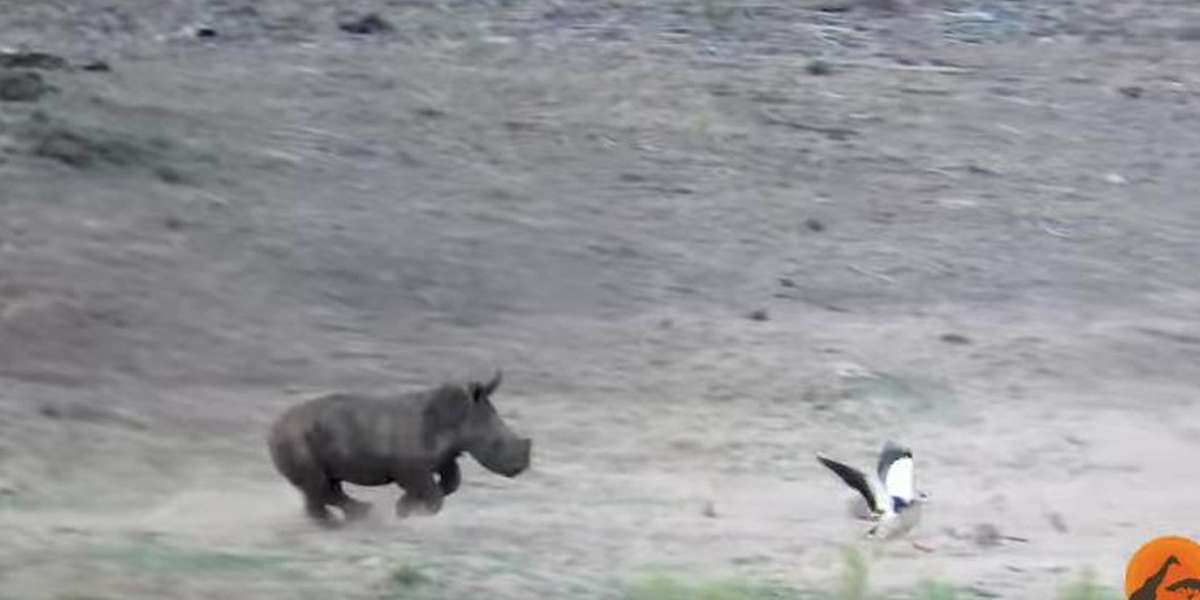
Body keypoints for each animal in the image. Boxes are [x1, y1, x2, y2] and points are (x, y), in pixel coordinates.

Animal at [267, 370, 531, 526]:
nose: (520, 469)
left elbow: (450, 483)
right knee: (317, 484)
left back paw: (354, 517)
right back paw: (342, 522)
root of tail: (272, 428)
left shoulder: (444, 457)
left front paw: (404, 508)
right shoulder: (409, 468)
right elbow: (434, 494)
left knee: (326, 483)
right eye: (496, 443)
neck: (458, 416)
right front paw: (411, 512)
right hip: (293, 437)